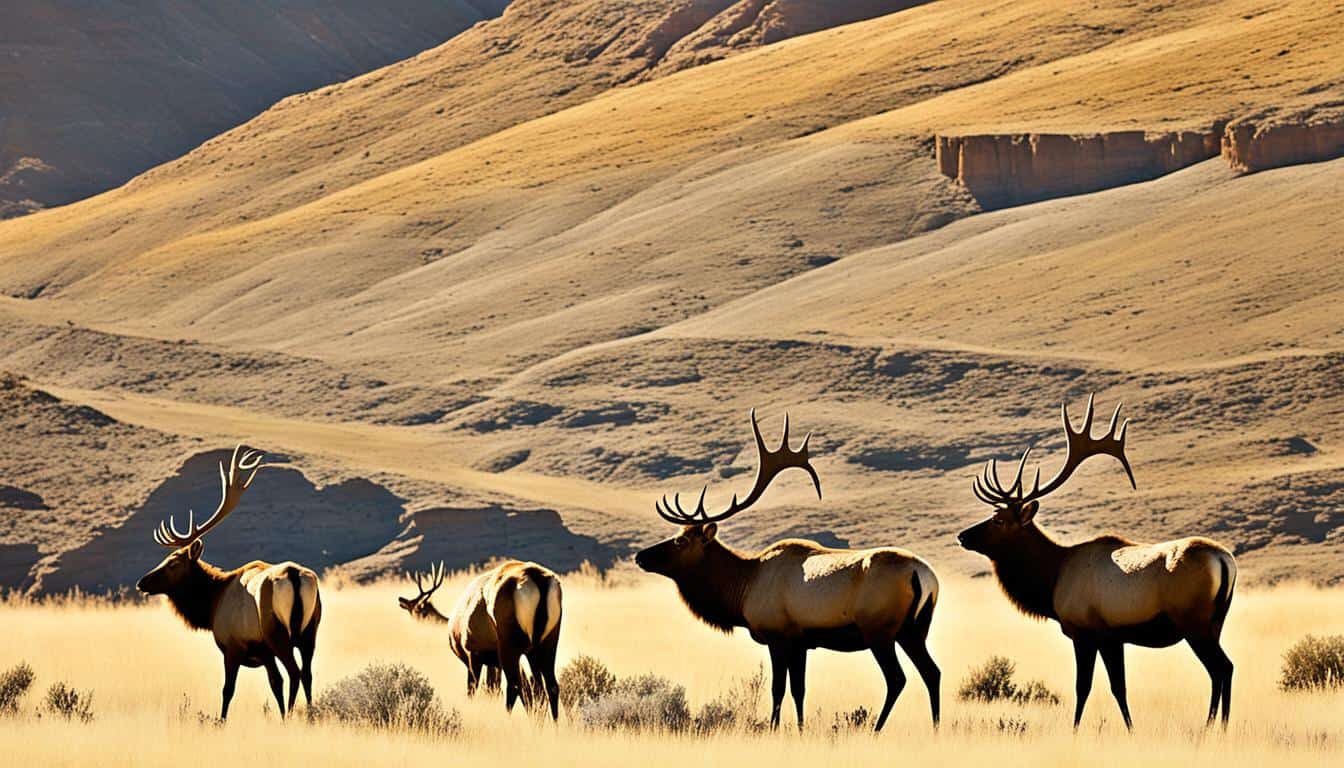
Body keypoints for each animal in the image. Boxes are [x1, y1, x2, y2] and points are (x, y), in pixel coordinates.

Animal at [136, 445, 321, 720]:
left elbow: (228, 689)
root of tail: (294, 575)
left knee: (295, 672)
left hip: (277, 633)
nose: (142, 582)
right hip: (311, 630)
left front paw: (221, 720)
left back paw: (291, 715)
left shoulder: (234, 647)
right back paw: (308, 713)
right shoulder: (264, 652)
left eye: (173, 563)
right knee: (307, 673)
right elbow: (274, 683)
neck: (212, 604)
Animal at [399, 559, 562, 719]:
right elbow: (496, 690)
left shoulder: (473, 652)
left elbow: (473, 690)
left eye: (417, 609)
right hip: (547, 641)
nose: (401, 599)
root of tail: (536, 578)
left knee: (515, 686)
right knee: (547, 687)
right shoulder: (494, 662)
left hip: (509, 643)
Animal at [635, 409, 941, 732]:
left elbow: (778, 688)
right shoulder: (801, 643)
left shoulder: (778, 635)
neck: (742, 589)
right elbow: (799, 689)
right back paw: (935, 727)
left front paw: (773, 728)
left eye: (680, 541)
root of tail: (923, 576)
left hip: (879, 630)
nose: (641, 556)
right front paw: (801, 728)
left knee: (897, 678)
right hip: (914, 630)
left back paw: (876, 728)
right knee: (932, 672)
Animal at [957, 395, 1237, 730]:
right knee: (1222, 669)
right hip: (1217, 621)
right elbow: (1120, 687)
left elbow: (1086, 687)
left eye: (998, 519)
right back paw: (1219, 725)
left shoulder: (1086, 631)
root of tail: (1223, 560)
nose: (963, 536)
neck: (1051, 580)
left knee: (1222, 667)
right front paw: (1130, 729)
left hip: (1193, 621)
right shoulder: (1114, 638)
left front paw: (1077, 730)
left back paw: (1212, 726)